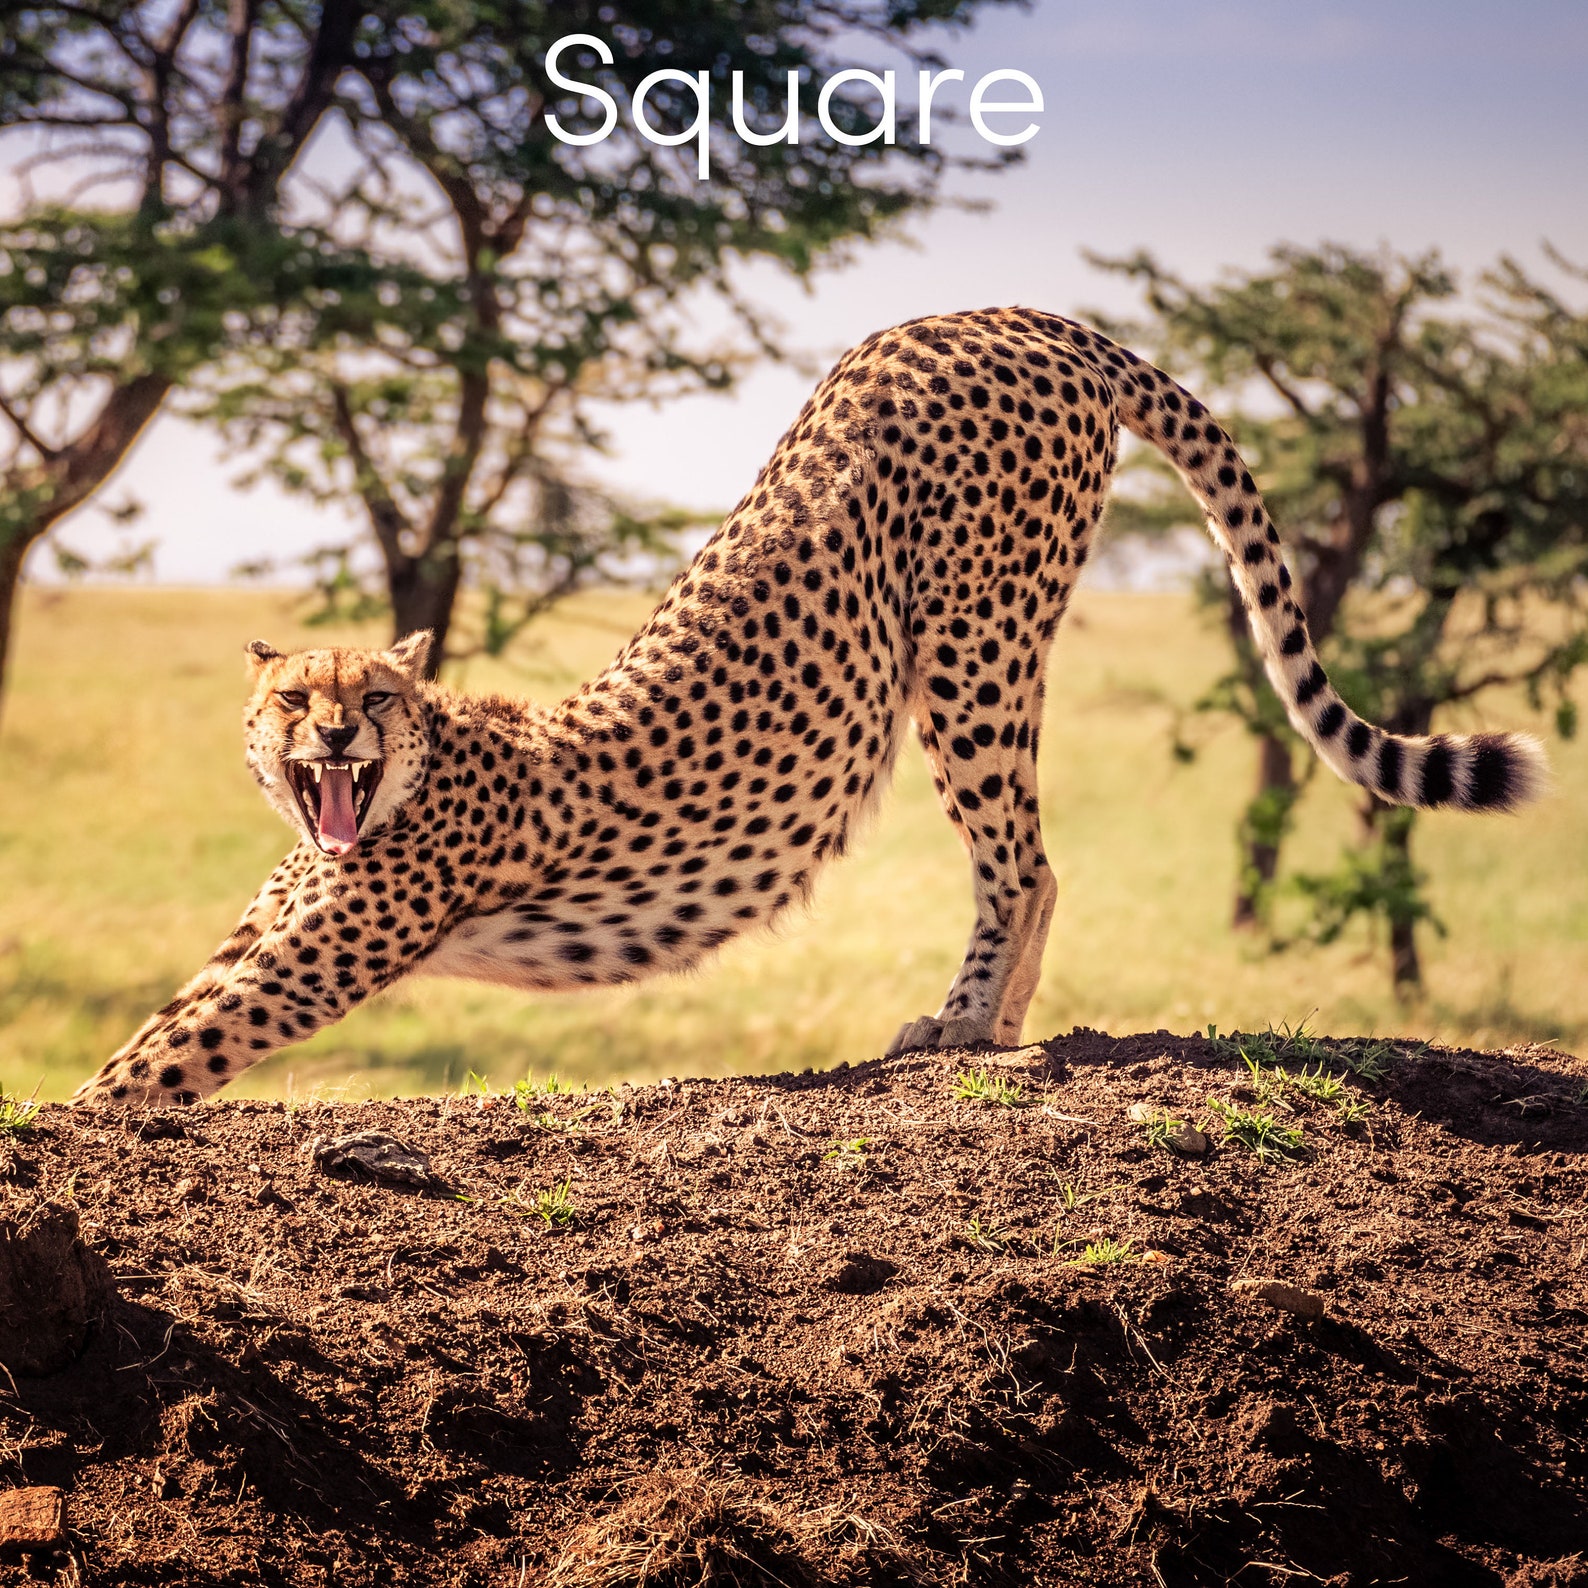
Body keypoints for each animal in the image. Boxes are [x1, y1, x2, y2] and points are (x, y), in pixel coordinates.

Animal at [73, 308, 1546, 1107]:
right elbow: (164, 1024)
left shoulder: (327, 950)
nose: (333, 736)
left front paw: (60, 1137)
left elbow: (160, 1061)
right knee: (1028, 858)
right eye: (291, 695)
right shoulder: (269, 928)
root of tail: (1009, 313)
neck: (413, 777)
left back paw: (966, 1028)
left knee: (1022, 858)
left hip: (969, 645)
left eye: (374, 692)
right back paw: (997, 1025)